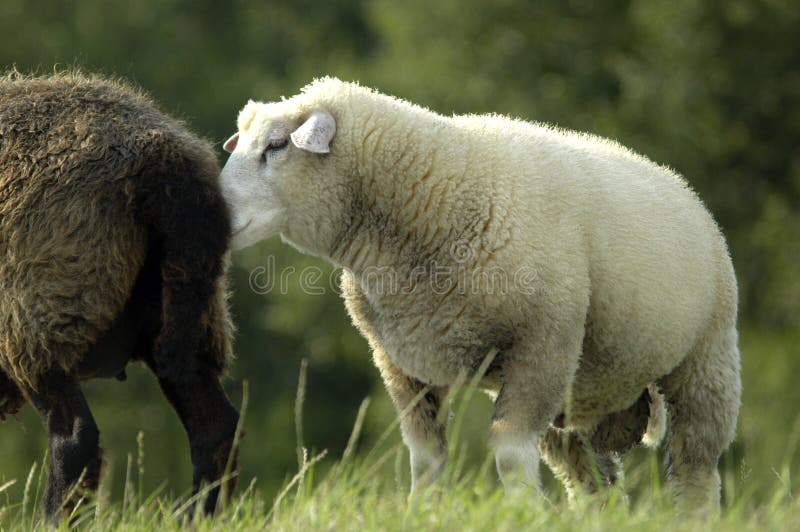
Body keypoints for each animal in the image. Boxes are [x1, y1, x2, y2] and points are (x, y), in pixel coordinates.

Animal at [0, 72, 239, 520]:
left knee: (75, 438)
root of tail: (165, 161)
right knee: (215, 427)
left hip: (42, 314)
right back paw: (197, 517)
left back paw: (51, 520)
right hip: (183, 309)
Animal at [219, 77, 741, 515]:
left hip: (705, 362)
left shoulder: (540, 346)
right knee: (594, 481)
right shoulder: (402, 364)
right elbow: (426, 460)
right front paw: (422, 513)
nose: (218, 211)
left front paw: (523, 515)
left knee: (695, 469)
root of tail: (679, 182)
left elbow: (509, 456)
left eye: (276, 146)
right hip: (581, 391)